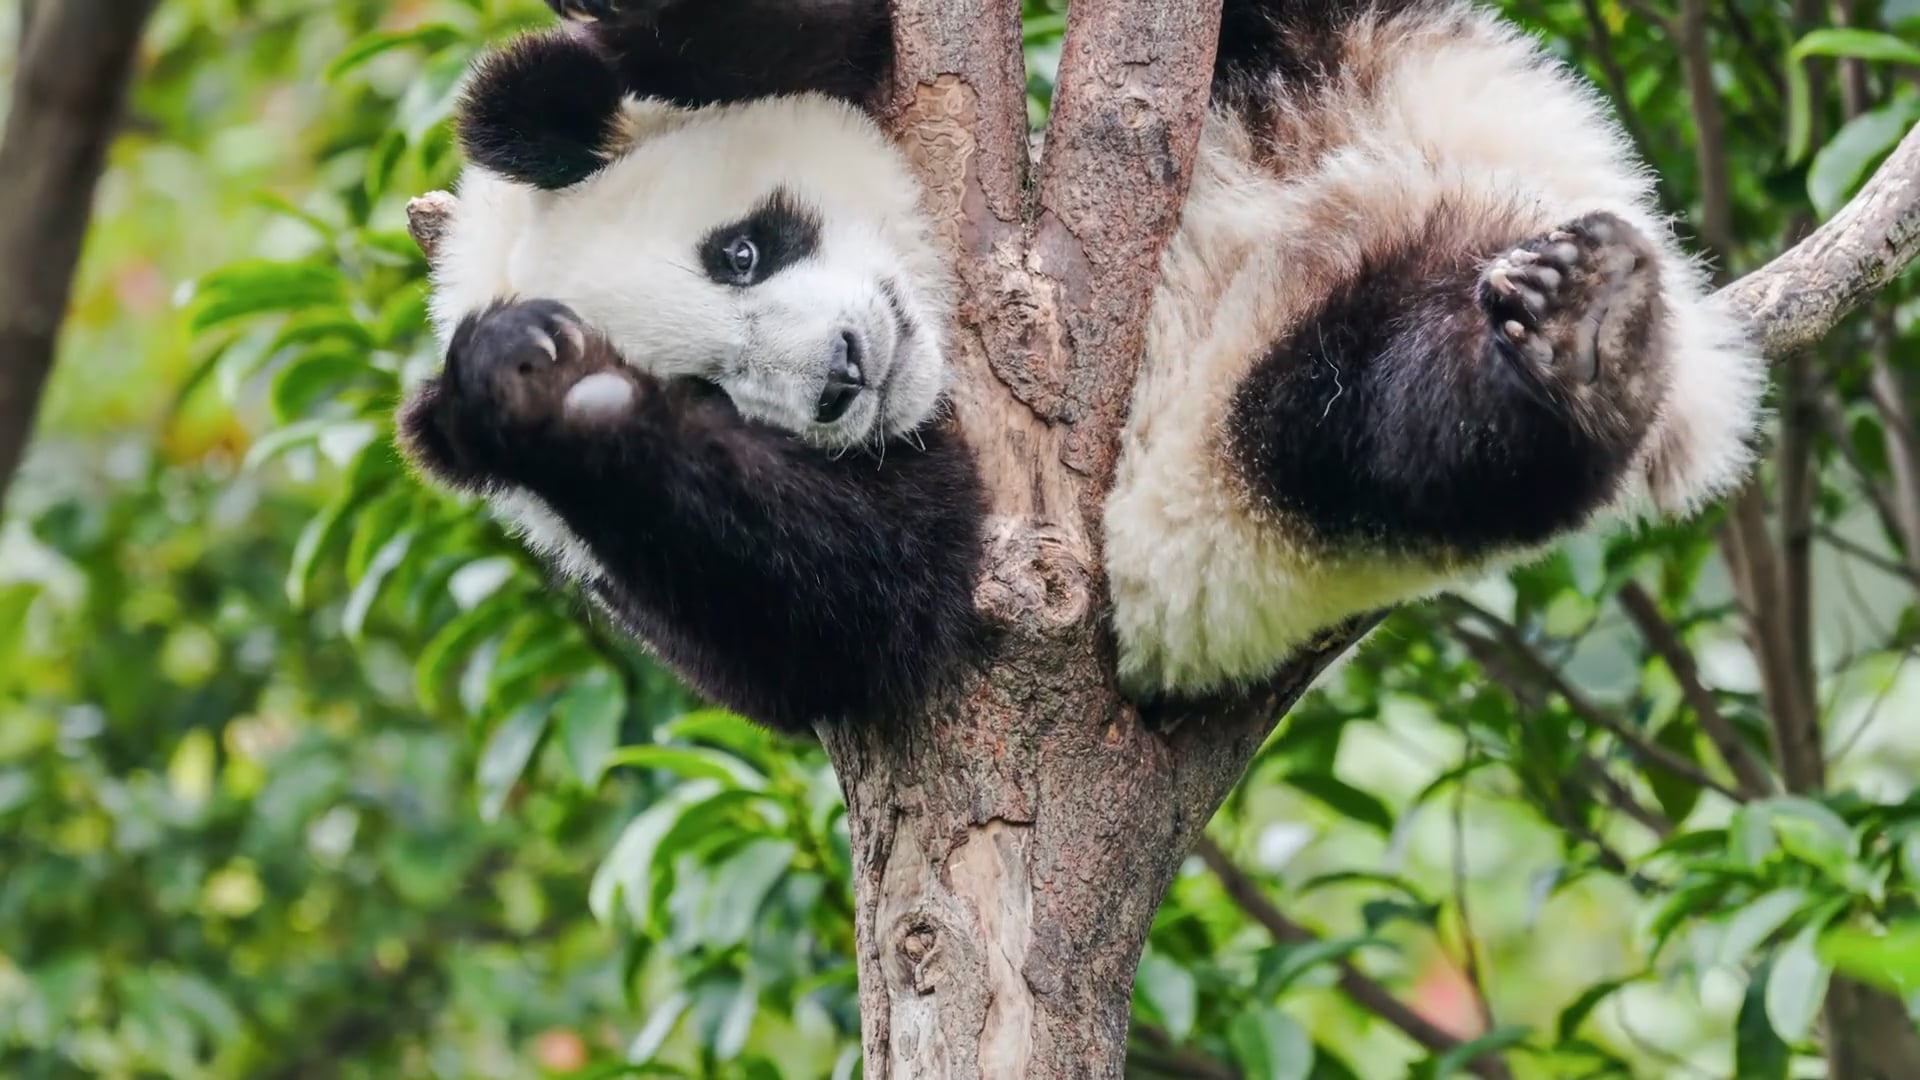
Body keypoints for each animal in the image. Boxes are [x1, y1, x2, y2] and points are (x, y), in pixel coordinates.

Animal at [397, 0, 1763, 732]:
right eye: (710, 395)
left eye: (738, 250)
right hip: (1248, 483)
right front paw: (538, 394)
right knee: (1381, 428)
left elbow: (784, 41)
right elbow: (860, 611)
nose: (844, 377)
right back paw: (1579, 356)